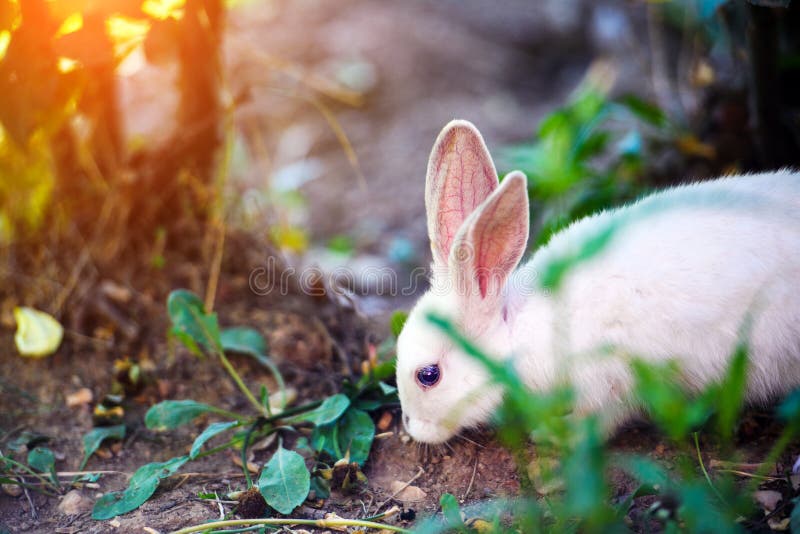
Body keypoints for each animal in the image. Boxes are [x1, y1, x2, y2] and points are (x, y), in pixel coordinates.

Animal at [396, 119, 800, 444]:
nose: (413, 429)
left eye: (428, 375)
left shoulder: (608, 385)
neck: (522, 328)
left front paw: (553, 436)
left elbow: (599, 423)